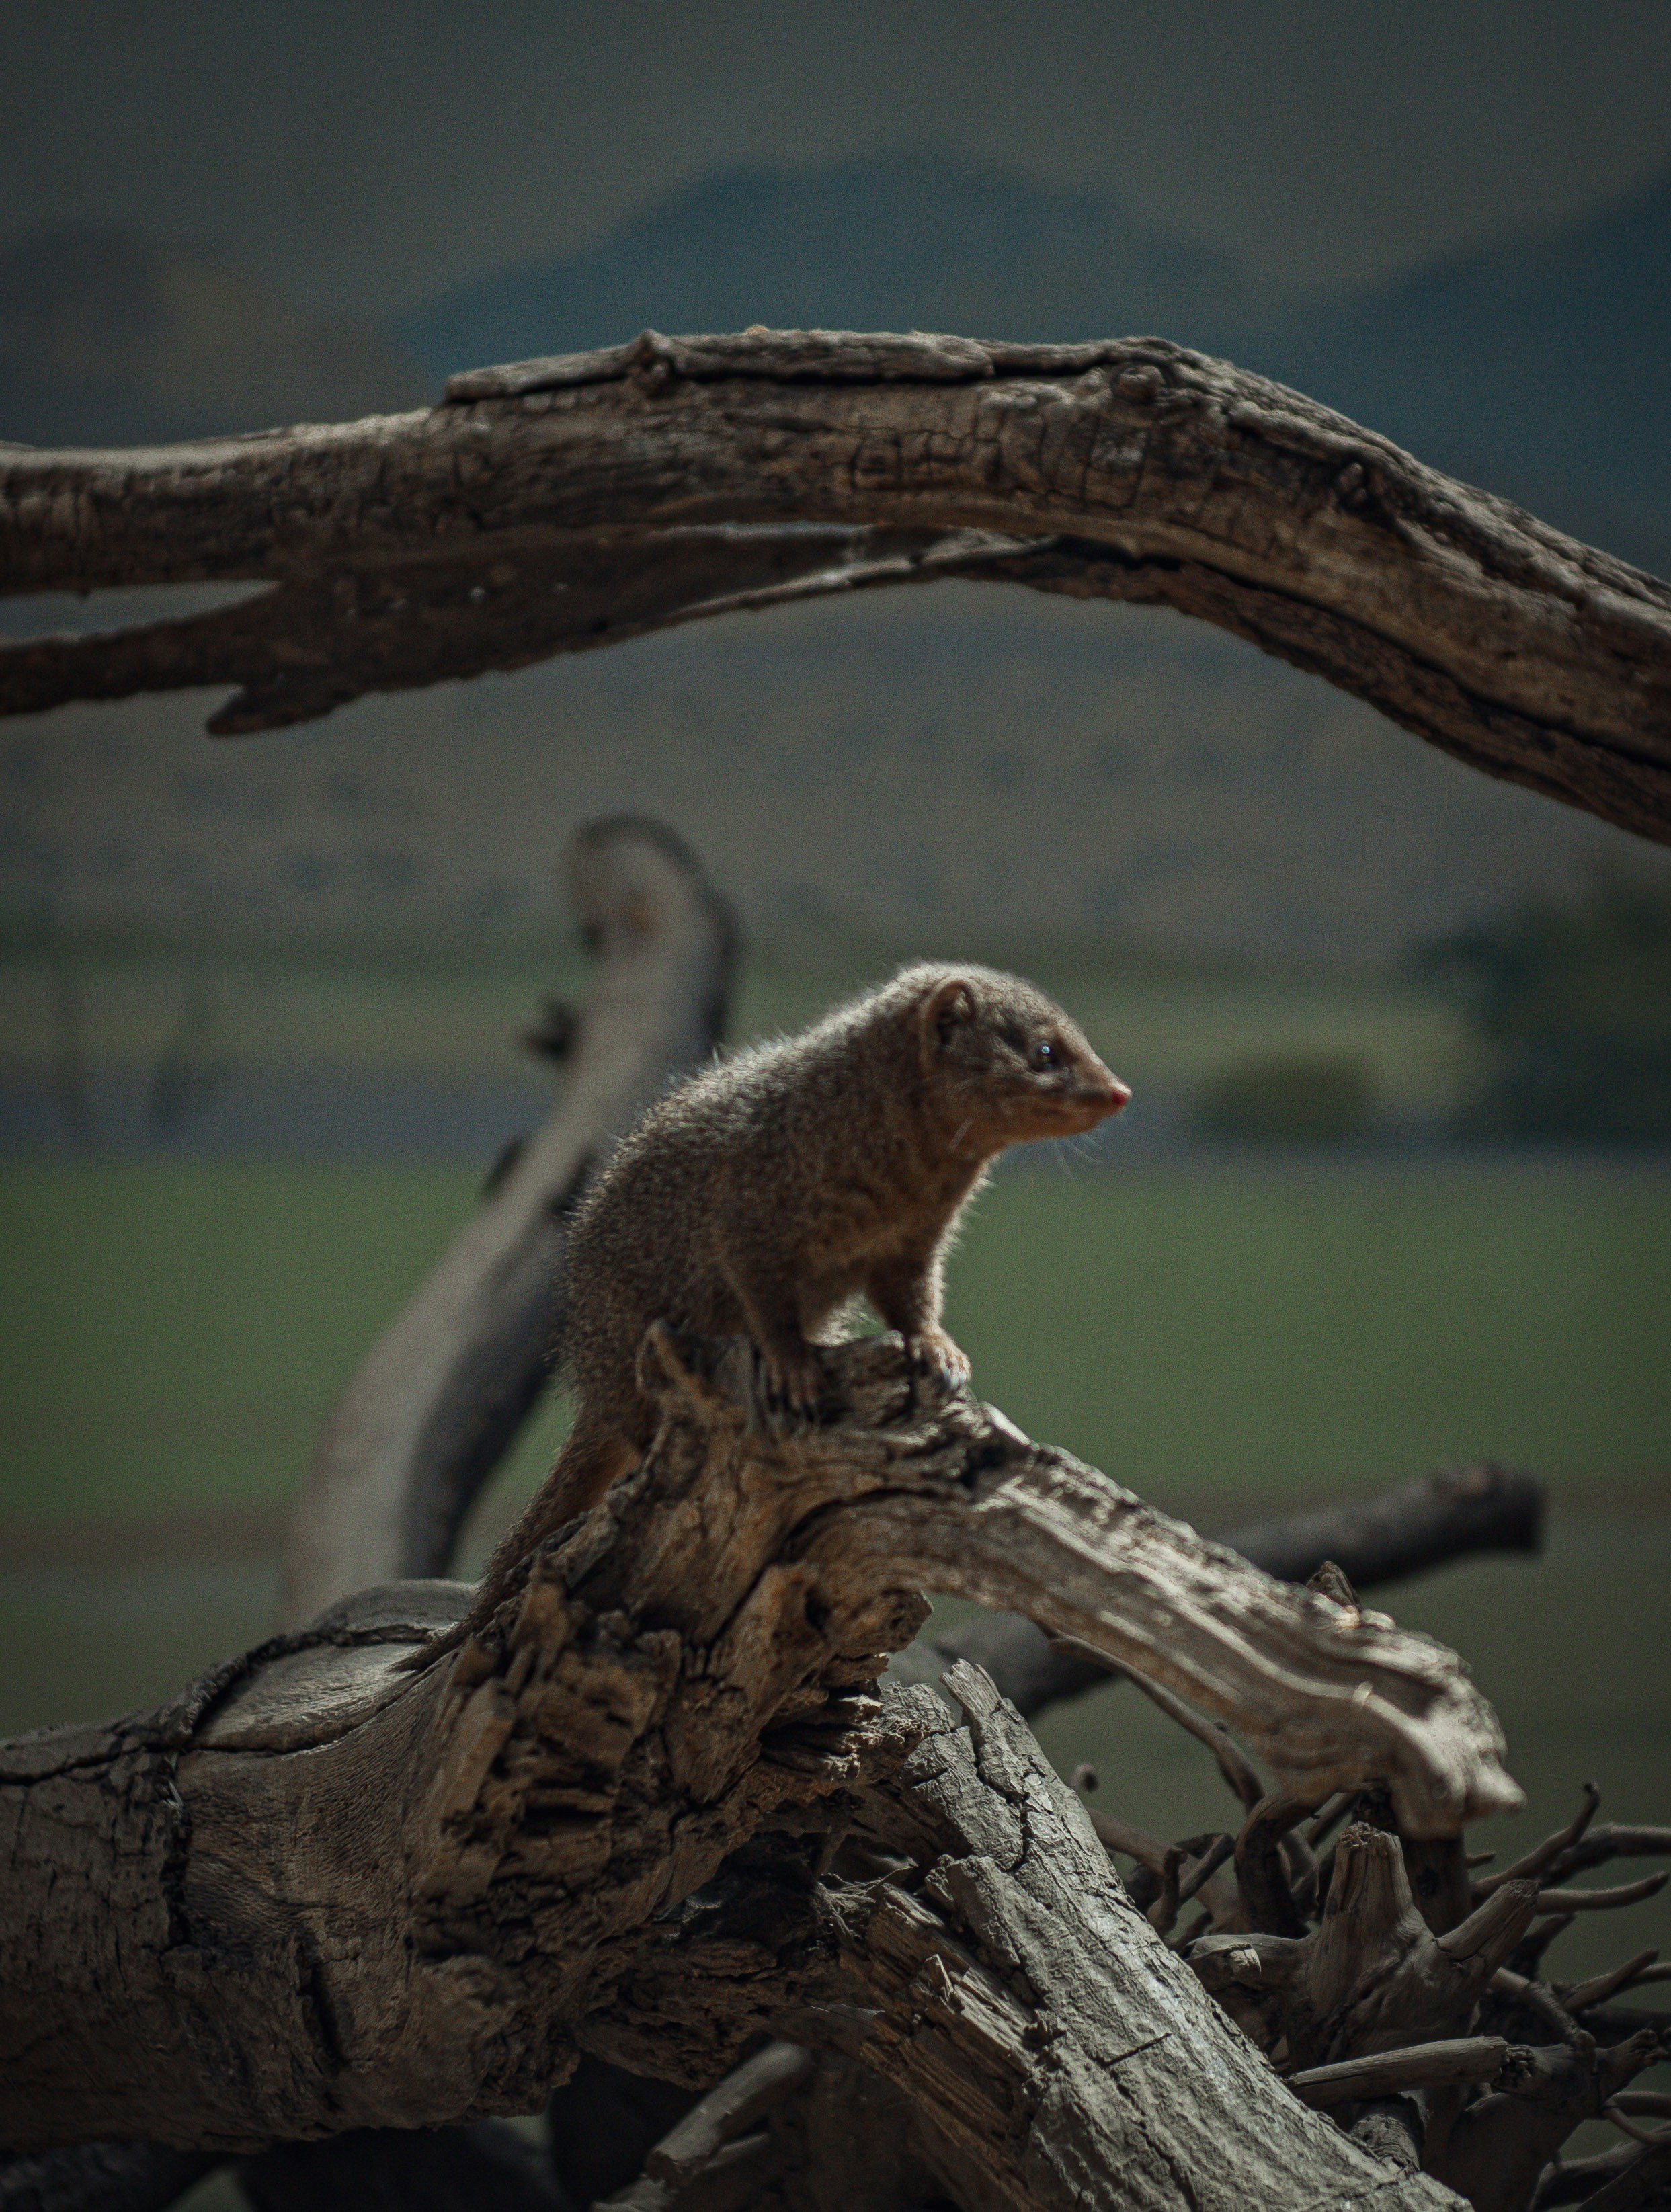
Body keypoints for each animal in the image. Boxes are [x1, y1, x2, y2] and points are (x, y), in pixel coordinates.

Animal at [408, 963, 1129, 1669]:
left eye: (1077, 1038)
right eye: (1046, 1051)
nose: (1120, 1092)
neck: (899, 1177)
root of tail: (596, 1385)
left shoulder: (912, 1243)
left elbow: (913, 1300)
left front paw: (938, 1350)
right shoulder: (751, 1216)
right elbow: (766, 1298)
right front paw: (795, 1369)